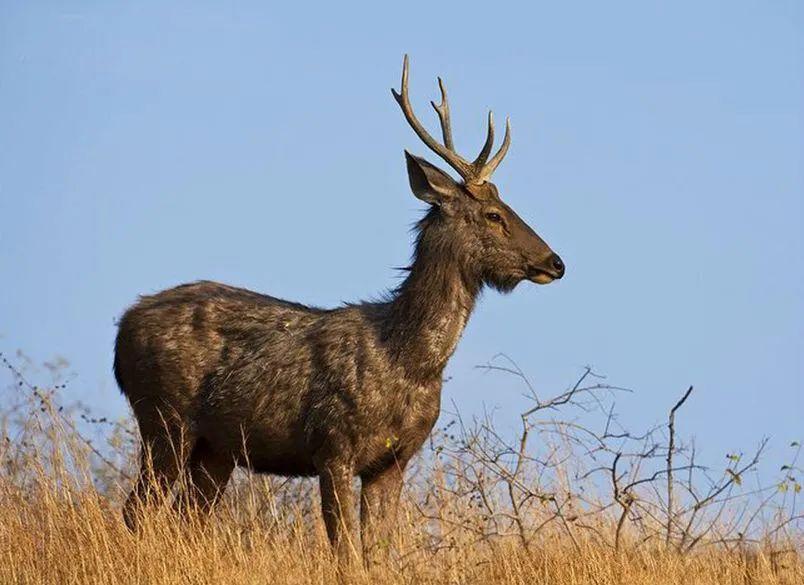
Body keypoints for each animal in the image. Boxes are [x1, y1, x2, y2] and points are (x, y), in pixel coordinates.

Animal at [114, 55, 565, 564]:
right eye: (493, 214)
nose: (556, 262)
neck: (409, 360)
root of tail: (121, 329)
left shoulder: (392, 461)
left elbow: (377, 554)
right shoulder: (332, 446)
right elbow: (345, 551)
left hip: (215, 448)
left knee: (185, 517)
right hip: (164, 419)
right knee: (136, 512)